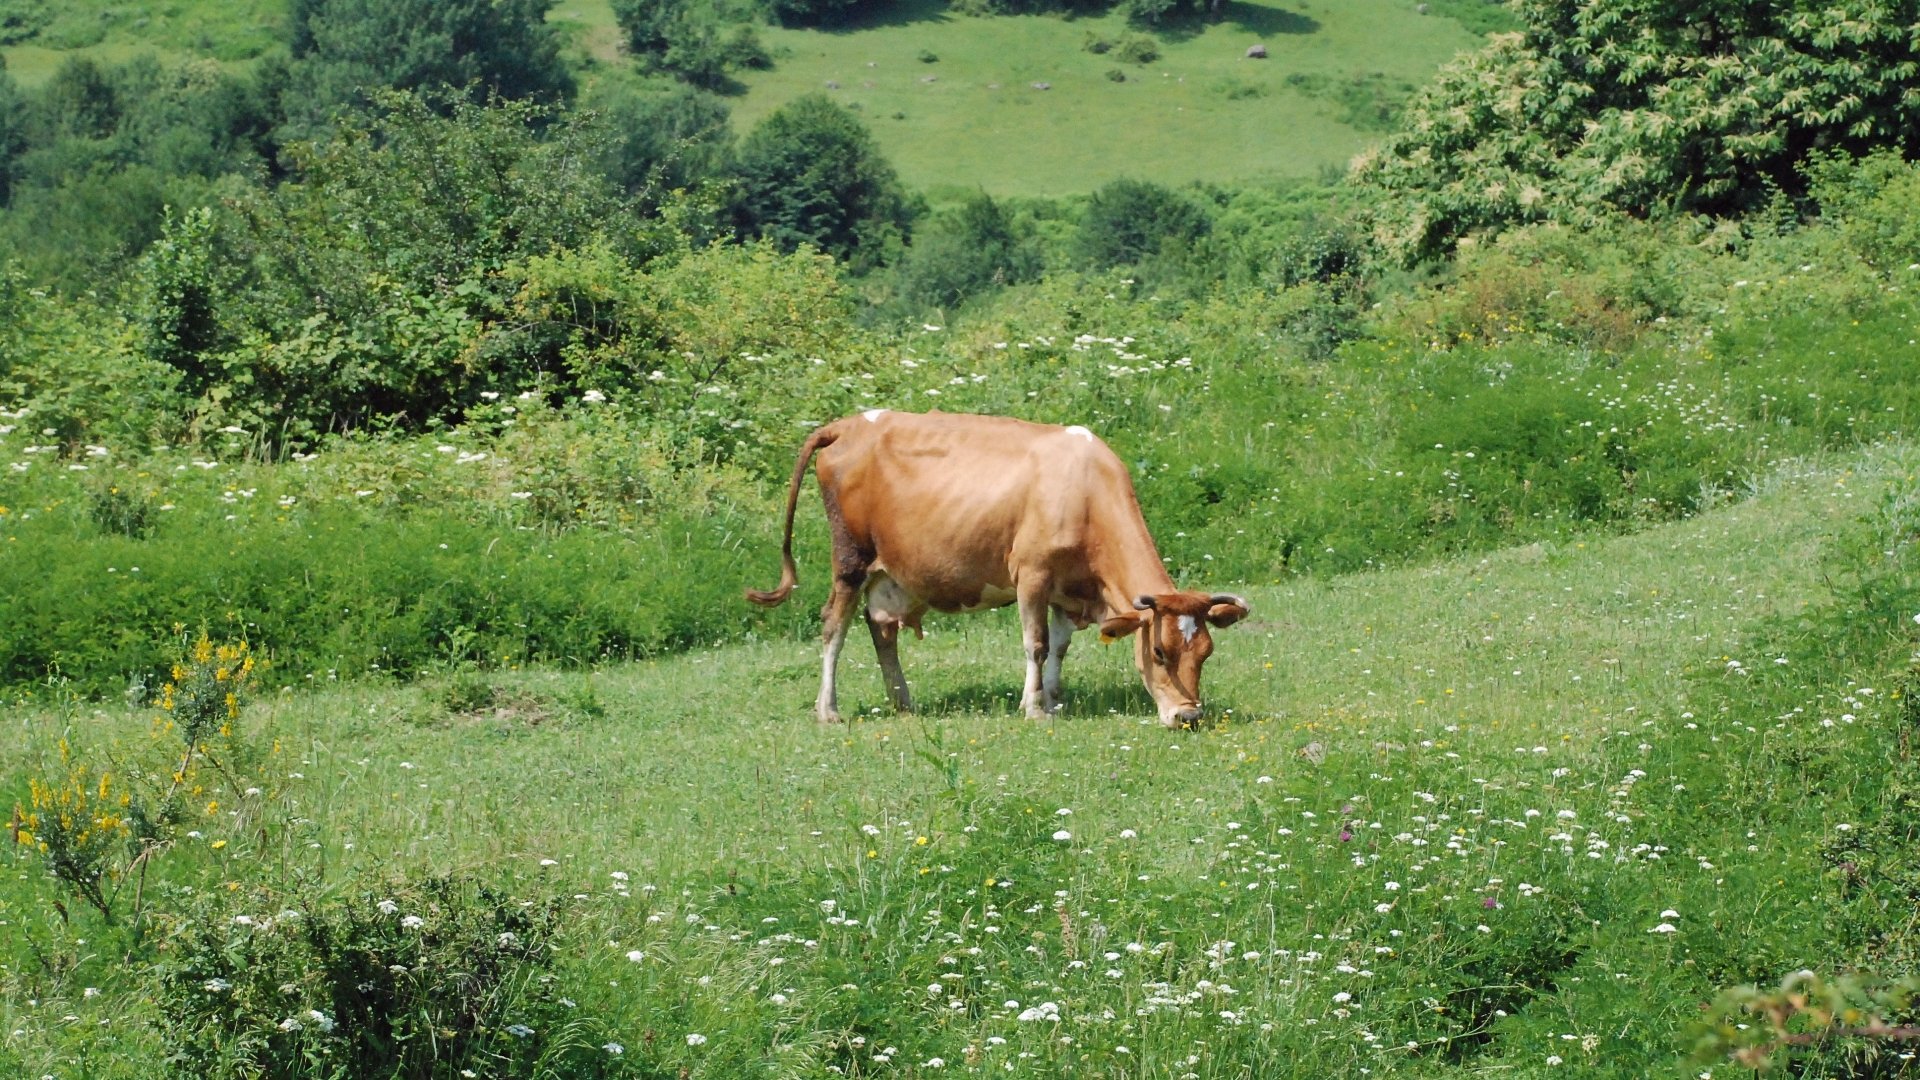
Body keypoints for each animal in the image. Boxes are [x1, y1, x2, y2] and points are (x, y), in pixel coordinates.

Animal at [745, 410, 1250, 727]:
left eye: (1206, 653)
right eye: (1160, 653)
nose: (1189, 715)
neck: (1085, 489)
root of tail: (846, 425)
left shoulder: (1069, 588)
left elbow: (1061, 646)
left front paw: (1054, 698)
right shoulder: (1032, 575)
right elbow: (1037, 643)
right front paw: (1034, 707)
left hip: (891, 572)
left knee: (881, 628)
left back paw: (903, 701)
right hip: (851, 558)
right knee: (835, 625)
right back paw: (828, 710)